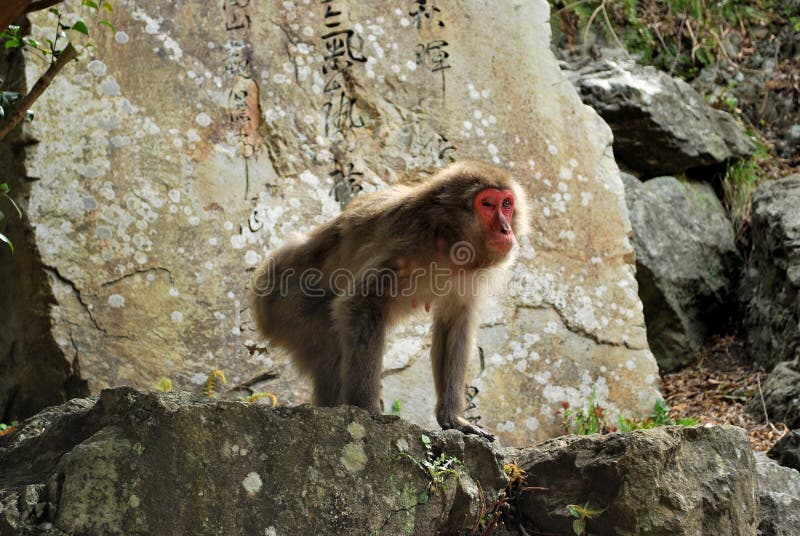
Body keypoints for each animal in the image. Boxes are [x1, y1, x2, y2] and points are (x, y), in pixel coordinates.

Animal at [249, 161, 529, 440]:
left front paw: (453, 418)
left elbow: (455, 323)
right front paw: (367, 411)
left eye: (506, 204)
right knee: (330, 347)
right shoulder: (407, 244)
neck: (448, 238)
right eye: (488, 204)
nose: (505, 230)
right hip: (288, 304)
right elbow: (361, 304)